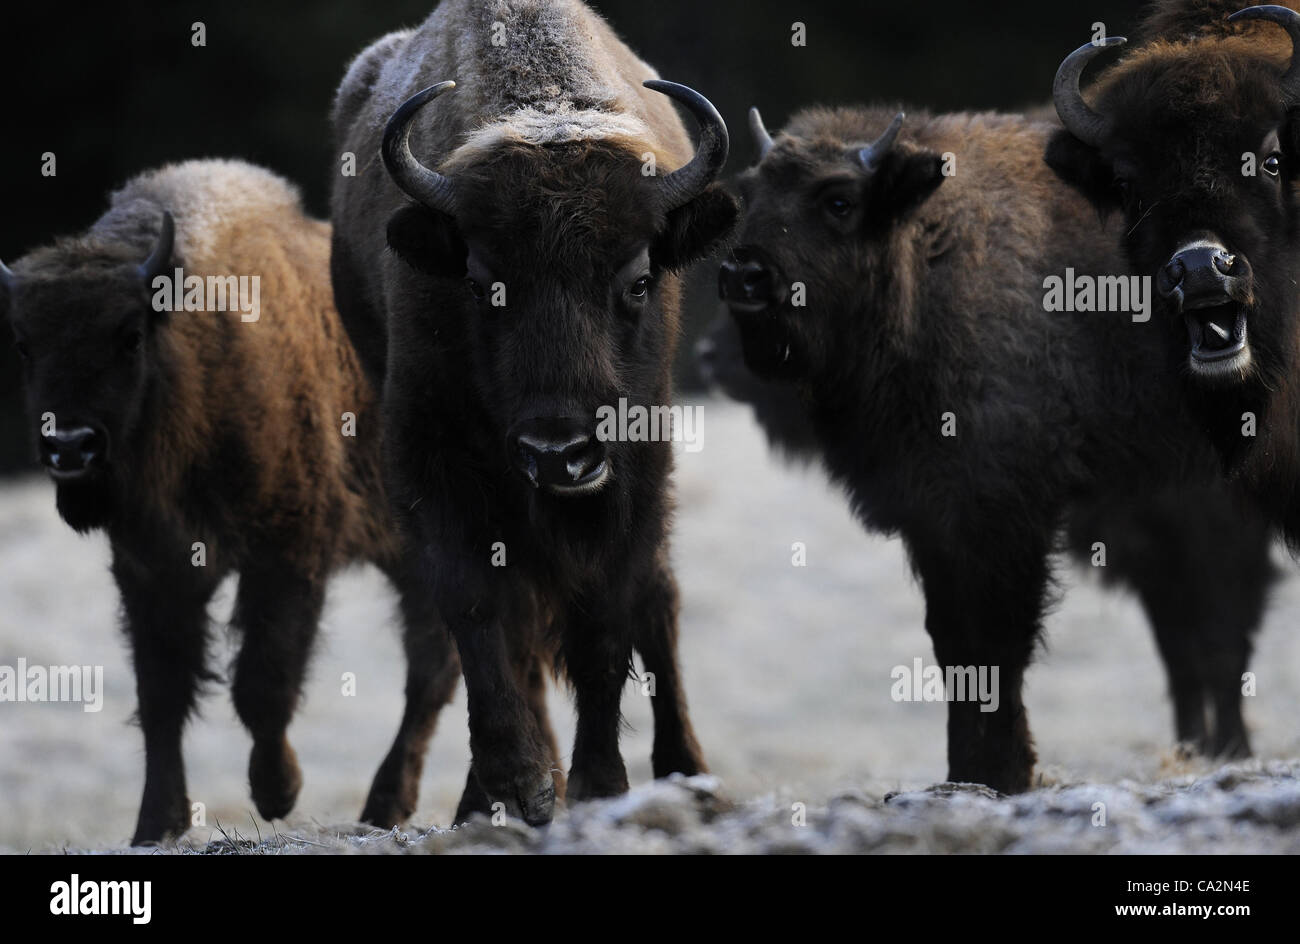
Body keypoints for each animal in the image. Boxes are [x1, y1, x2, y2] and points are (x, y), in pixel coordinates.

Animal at [329, 0, 736, 823]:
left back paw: (686, 773)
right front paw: (518, 784)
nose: (558, 452)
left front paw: (600, 783)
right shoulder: (433, 467)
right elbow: (480, 611)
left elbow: (608, 623)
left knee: (659, 601)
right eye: (482, 281)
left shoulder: (633, 474)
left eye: (638, 279)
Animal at [720, 104, 1270, 792]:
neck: (930, 252)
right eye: (747, 195)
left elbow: (997, 641)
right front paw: (969, 772)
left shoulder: (1003, 511)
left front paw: (1004, 772)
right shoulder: (933, 516)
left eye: (839, 200)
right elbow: (954, 642)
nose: (742, 275)